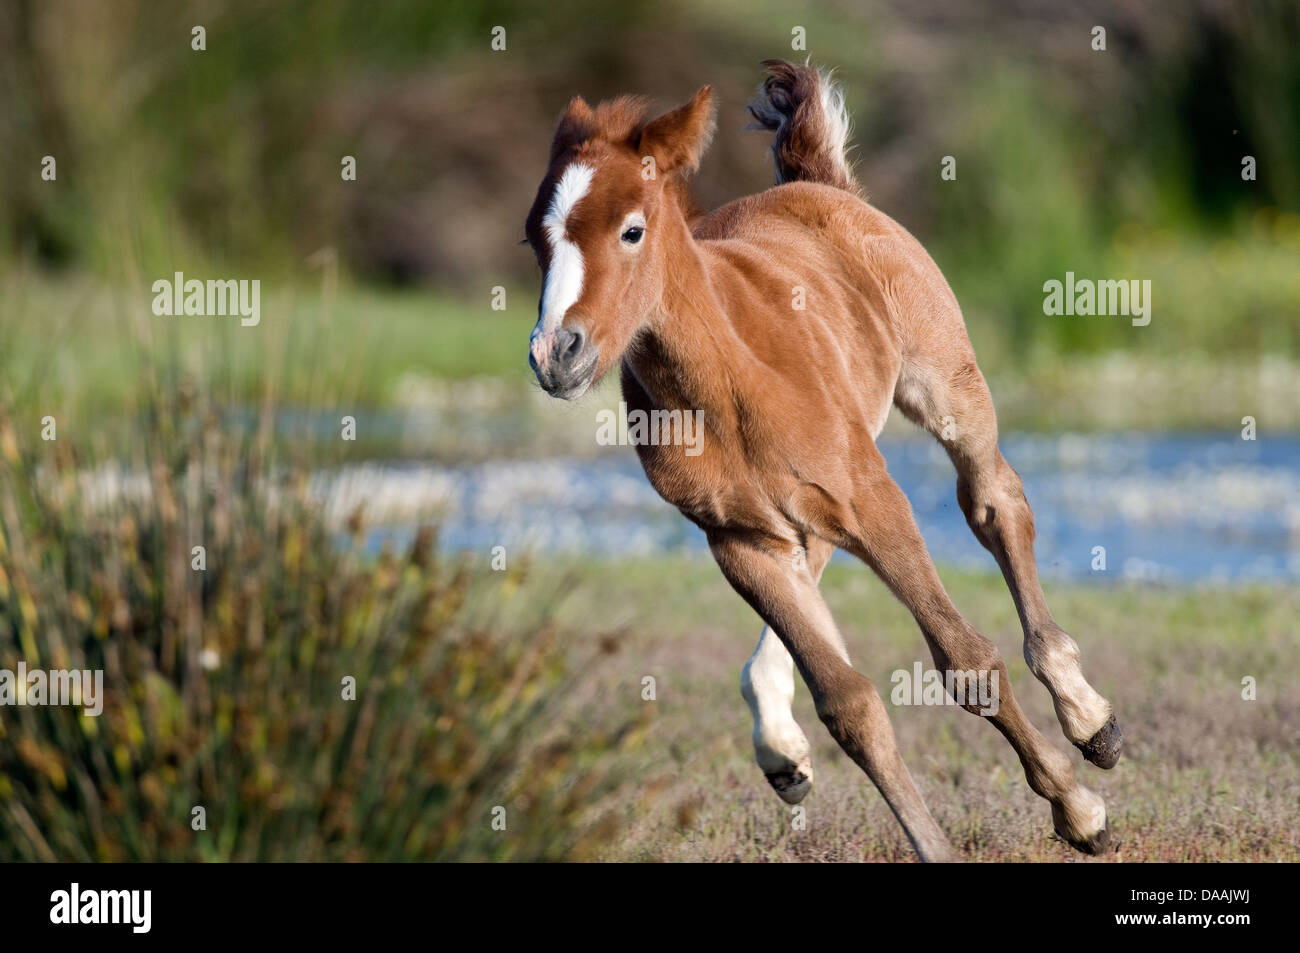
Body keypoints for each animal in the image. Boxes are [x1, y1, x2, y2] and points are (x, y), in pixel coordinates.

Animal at [522, 59, 1122, 861]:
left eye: (631, 230)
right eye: (535, 240)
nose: (556, 354)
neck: (727, 383)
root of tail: (818, 182)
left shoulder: (874, 498)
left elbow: (967, 661)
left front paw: (1079, 809)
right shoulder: (741, 539)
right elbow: (849, 703)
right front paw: (931, 840)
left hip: (946, 384)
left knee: (994, 501)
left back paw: (1089, 715)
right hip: (805, 508)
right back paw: (782, 740)